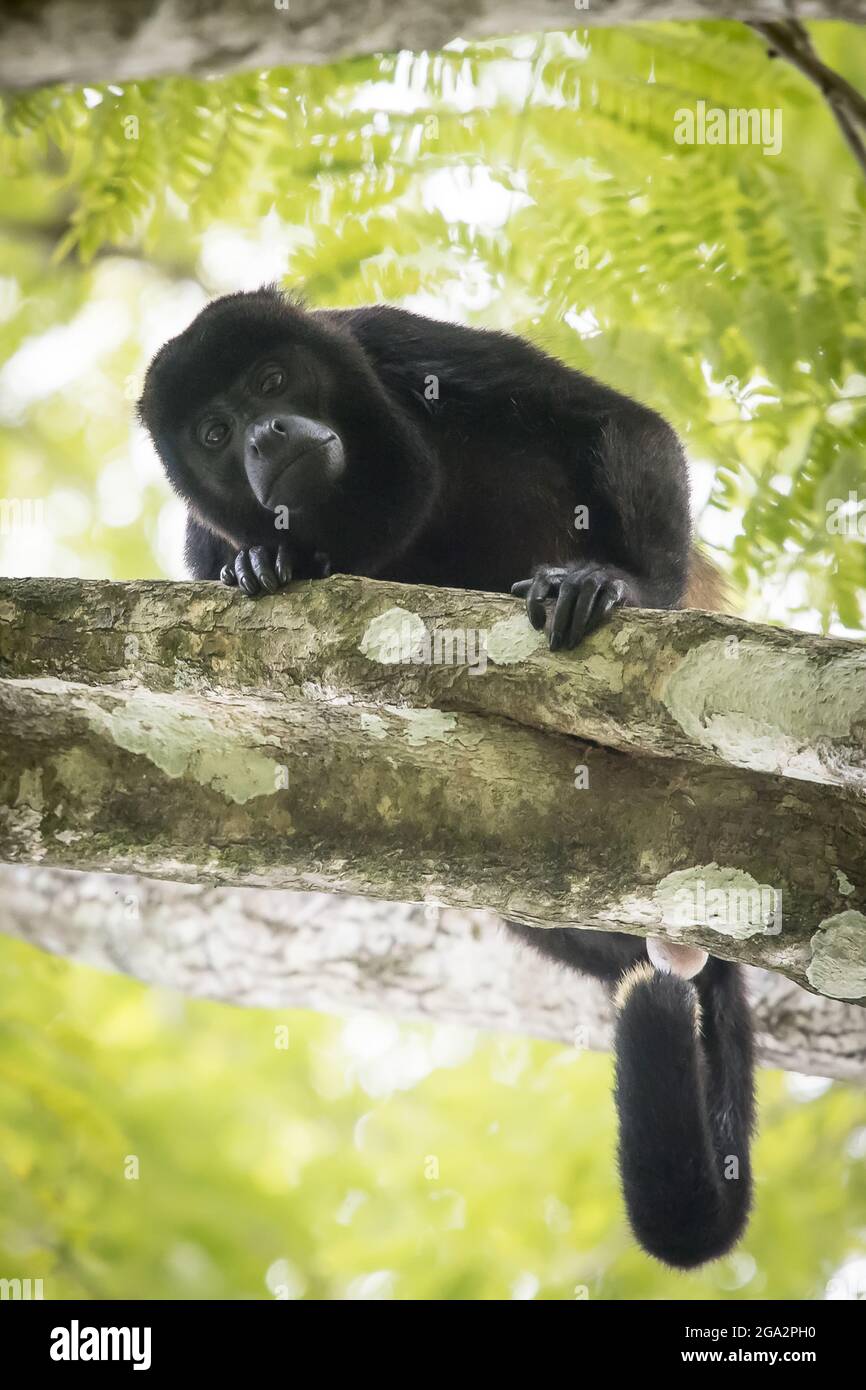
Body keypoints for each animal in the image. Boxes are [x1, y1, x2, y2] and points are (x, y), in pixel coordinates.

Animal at [138, 285, 754, 1270]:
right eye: (214, 432)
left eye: (271, 381)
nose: (265, 435)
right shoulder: (199, 544)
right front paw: (263, 561)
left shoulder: (391, 337)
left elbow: (611, 421)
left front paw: (623, 584)